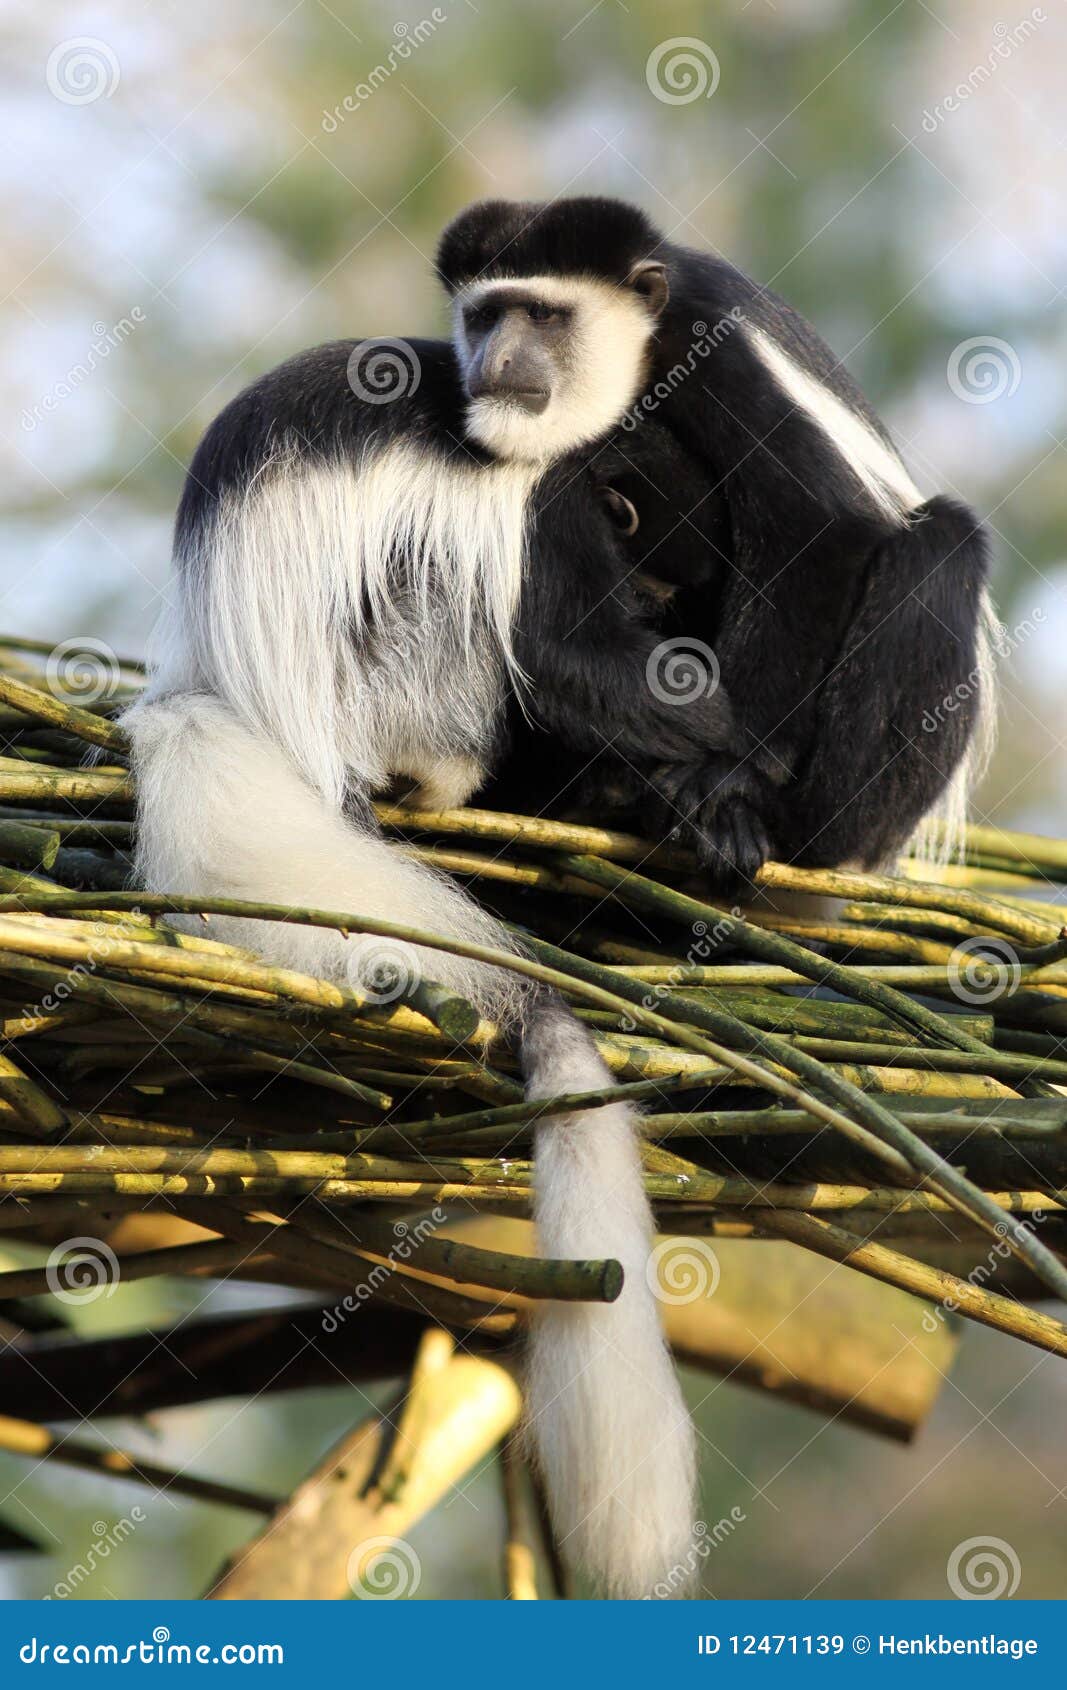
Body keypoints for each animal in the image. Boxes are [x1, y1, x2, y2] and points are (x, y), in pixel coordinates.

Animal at [437, 196, 996, 889]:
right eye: (484, 317)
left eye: (542, 314)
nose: (495, 362)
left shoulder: (718, 350)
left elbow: (818, 528)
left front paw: (728, 775)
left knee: (942, 546)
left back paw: (779, 824)